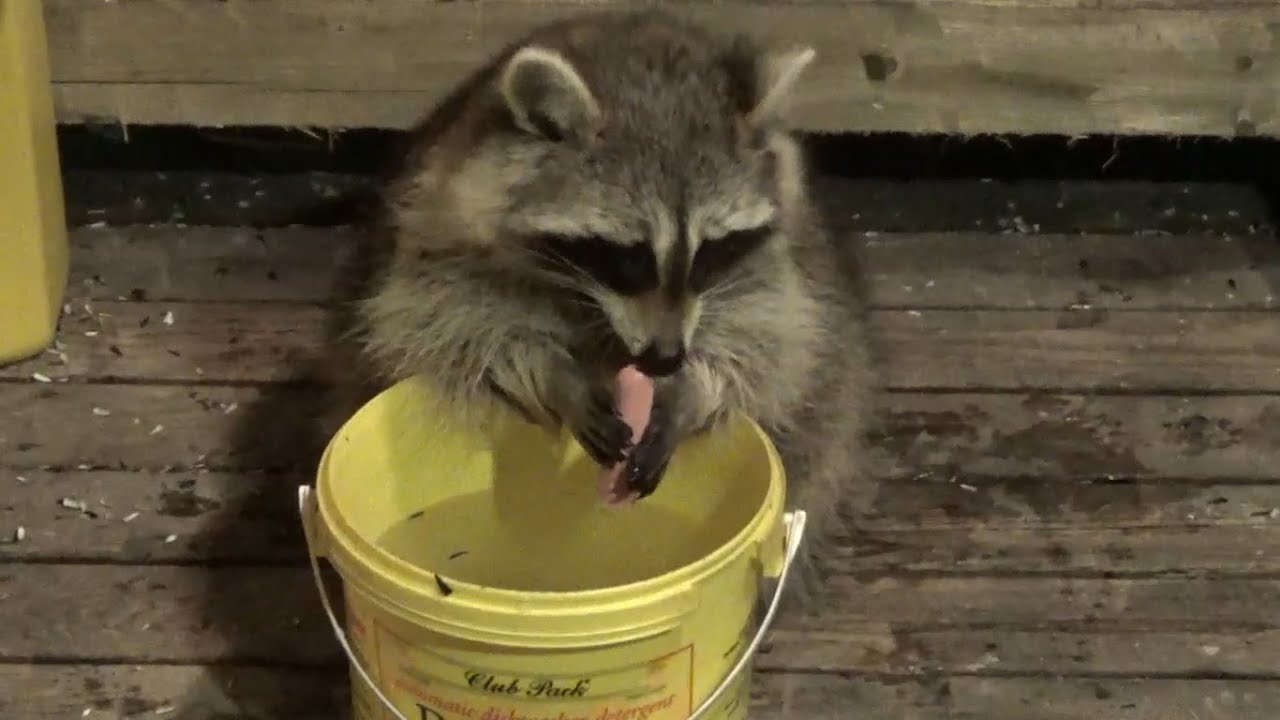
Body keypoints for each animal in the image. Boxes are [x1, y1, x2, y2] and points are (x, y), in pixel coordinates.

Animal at [342, 9, 875, 610]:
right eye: (630, 256)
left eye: (712, 250)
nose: (665, 360)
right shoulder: (437, 227)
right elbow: (448, 324)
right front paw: (555, 377)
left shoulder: (776, 262)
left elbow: (772, 340)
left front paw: (689, 393)